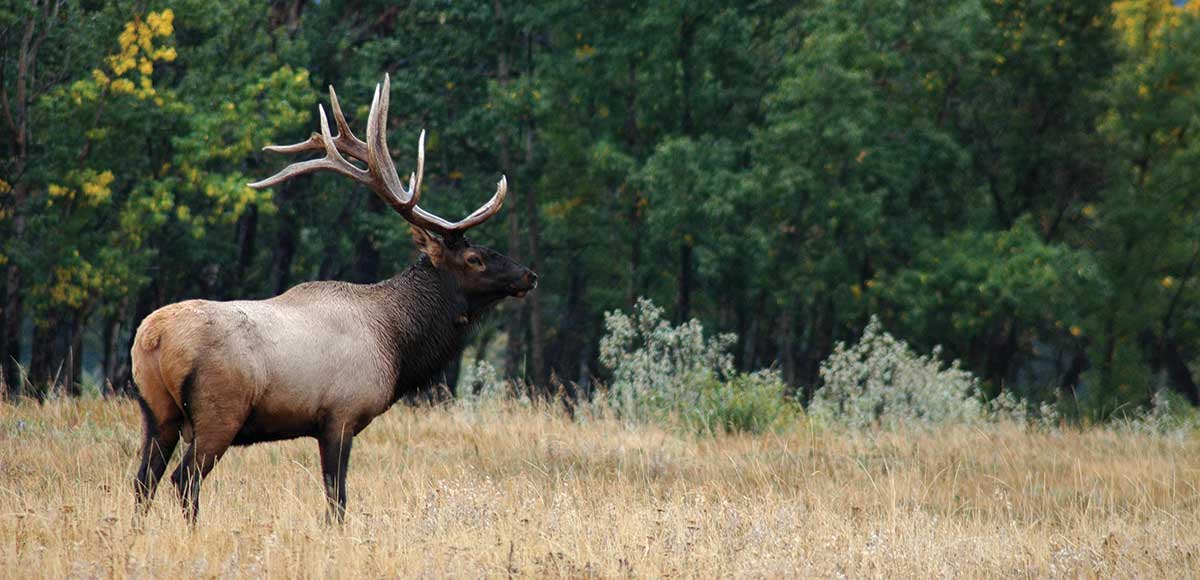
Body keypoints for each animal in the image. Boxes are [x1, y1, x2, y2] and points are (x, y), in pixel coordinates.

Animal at [130, 75, 536, 524]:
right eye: (474, 258)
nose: (529, 275)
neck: (396, 344)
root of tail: (152, 338)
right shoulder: (341, 415)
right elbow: (336, 498)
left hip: (156, 411)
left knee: (143, 480)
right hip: (219, 411)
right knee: (184, 479)